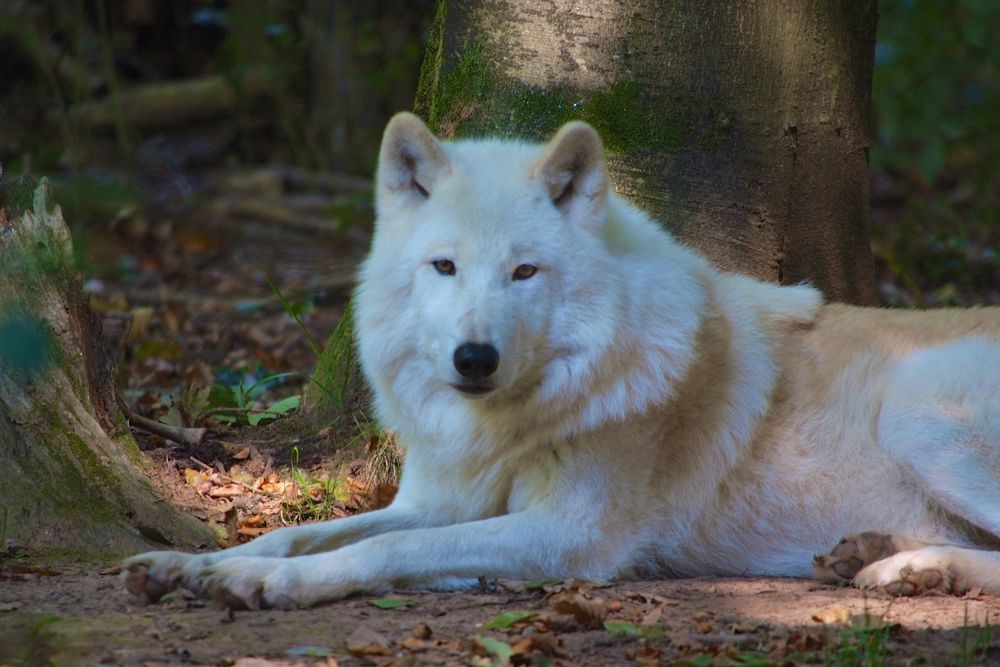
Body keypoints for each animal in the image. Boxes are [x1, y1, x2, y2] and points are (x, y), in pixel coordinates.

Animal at [124, 113, 1000, 610]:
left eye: (524, 271)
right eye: (445, 267)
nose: (474, 357)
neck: (507, 427)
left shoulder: (570, 534)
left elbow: (380, 550)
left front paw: (273, 587)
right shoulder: (440, 500)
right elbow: (309, 532)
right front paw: (196, 565)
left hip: (917, 409)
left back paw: (914, 570)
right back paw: (874, 555)